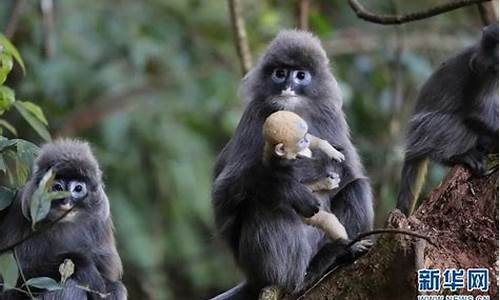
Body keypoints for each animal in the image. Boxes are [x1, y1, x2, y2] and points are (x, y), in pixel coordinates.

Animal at [0, 141, 125, 300]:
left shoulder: (100, 224)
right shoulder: (19, 211)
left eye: (78, 188)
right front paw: (85, 267)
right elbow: (12, 282)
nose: (66, 201)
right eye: (57, 187)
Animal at [262, 110, 348, 241]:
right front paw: (327, 182)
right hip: (309, 215)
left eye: (305, 136)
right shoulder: (281, 162)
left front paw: (331, 150)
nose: (306, 140)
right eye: (301, 141)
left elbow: (316, 142)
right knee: (327, 220)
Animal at [396, 23, 498, 216]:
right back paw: (457, 156)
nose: (495, 57)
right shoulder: (483, 72)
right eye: (491, 46)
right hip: (426, 128)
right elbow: (476, 112)